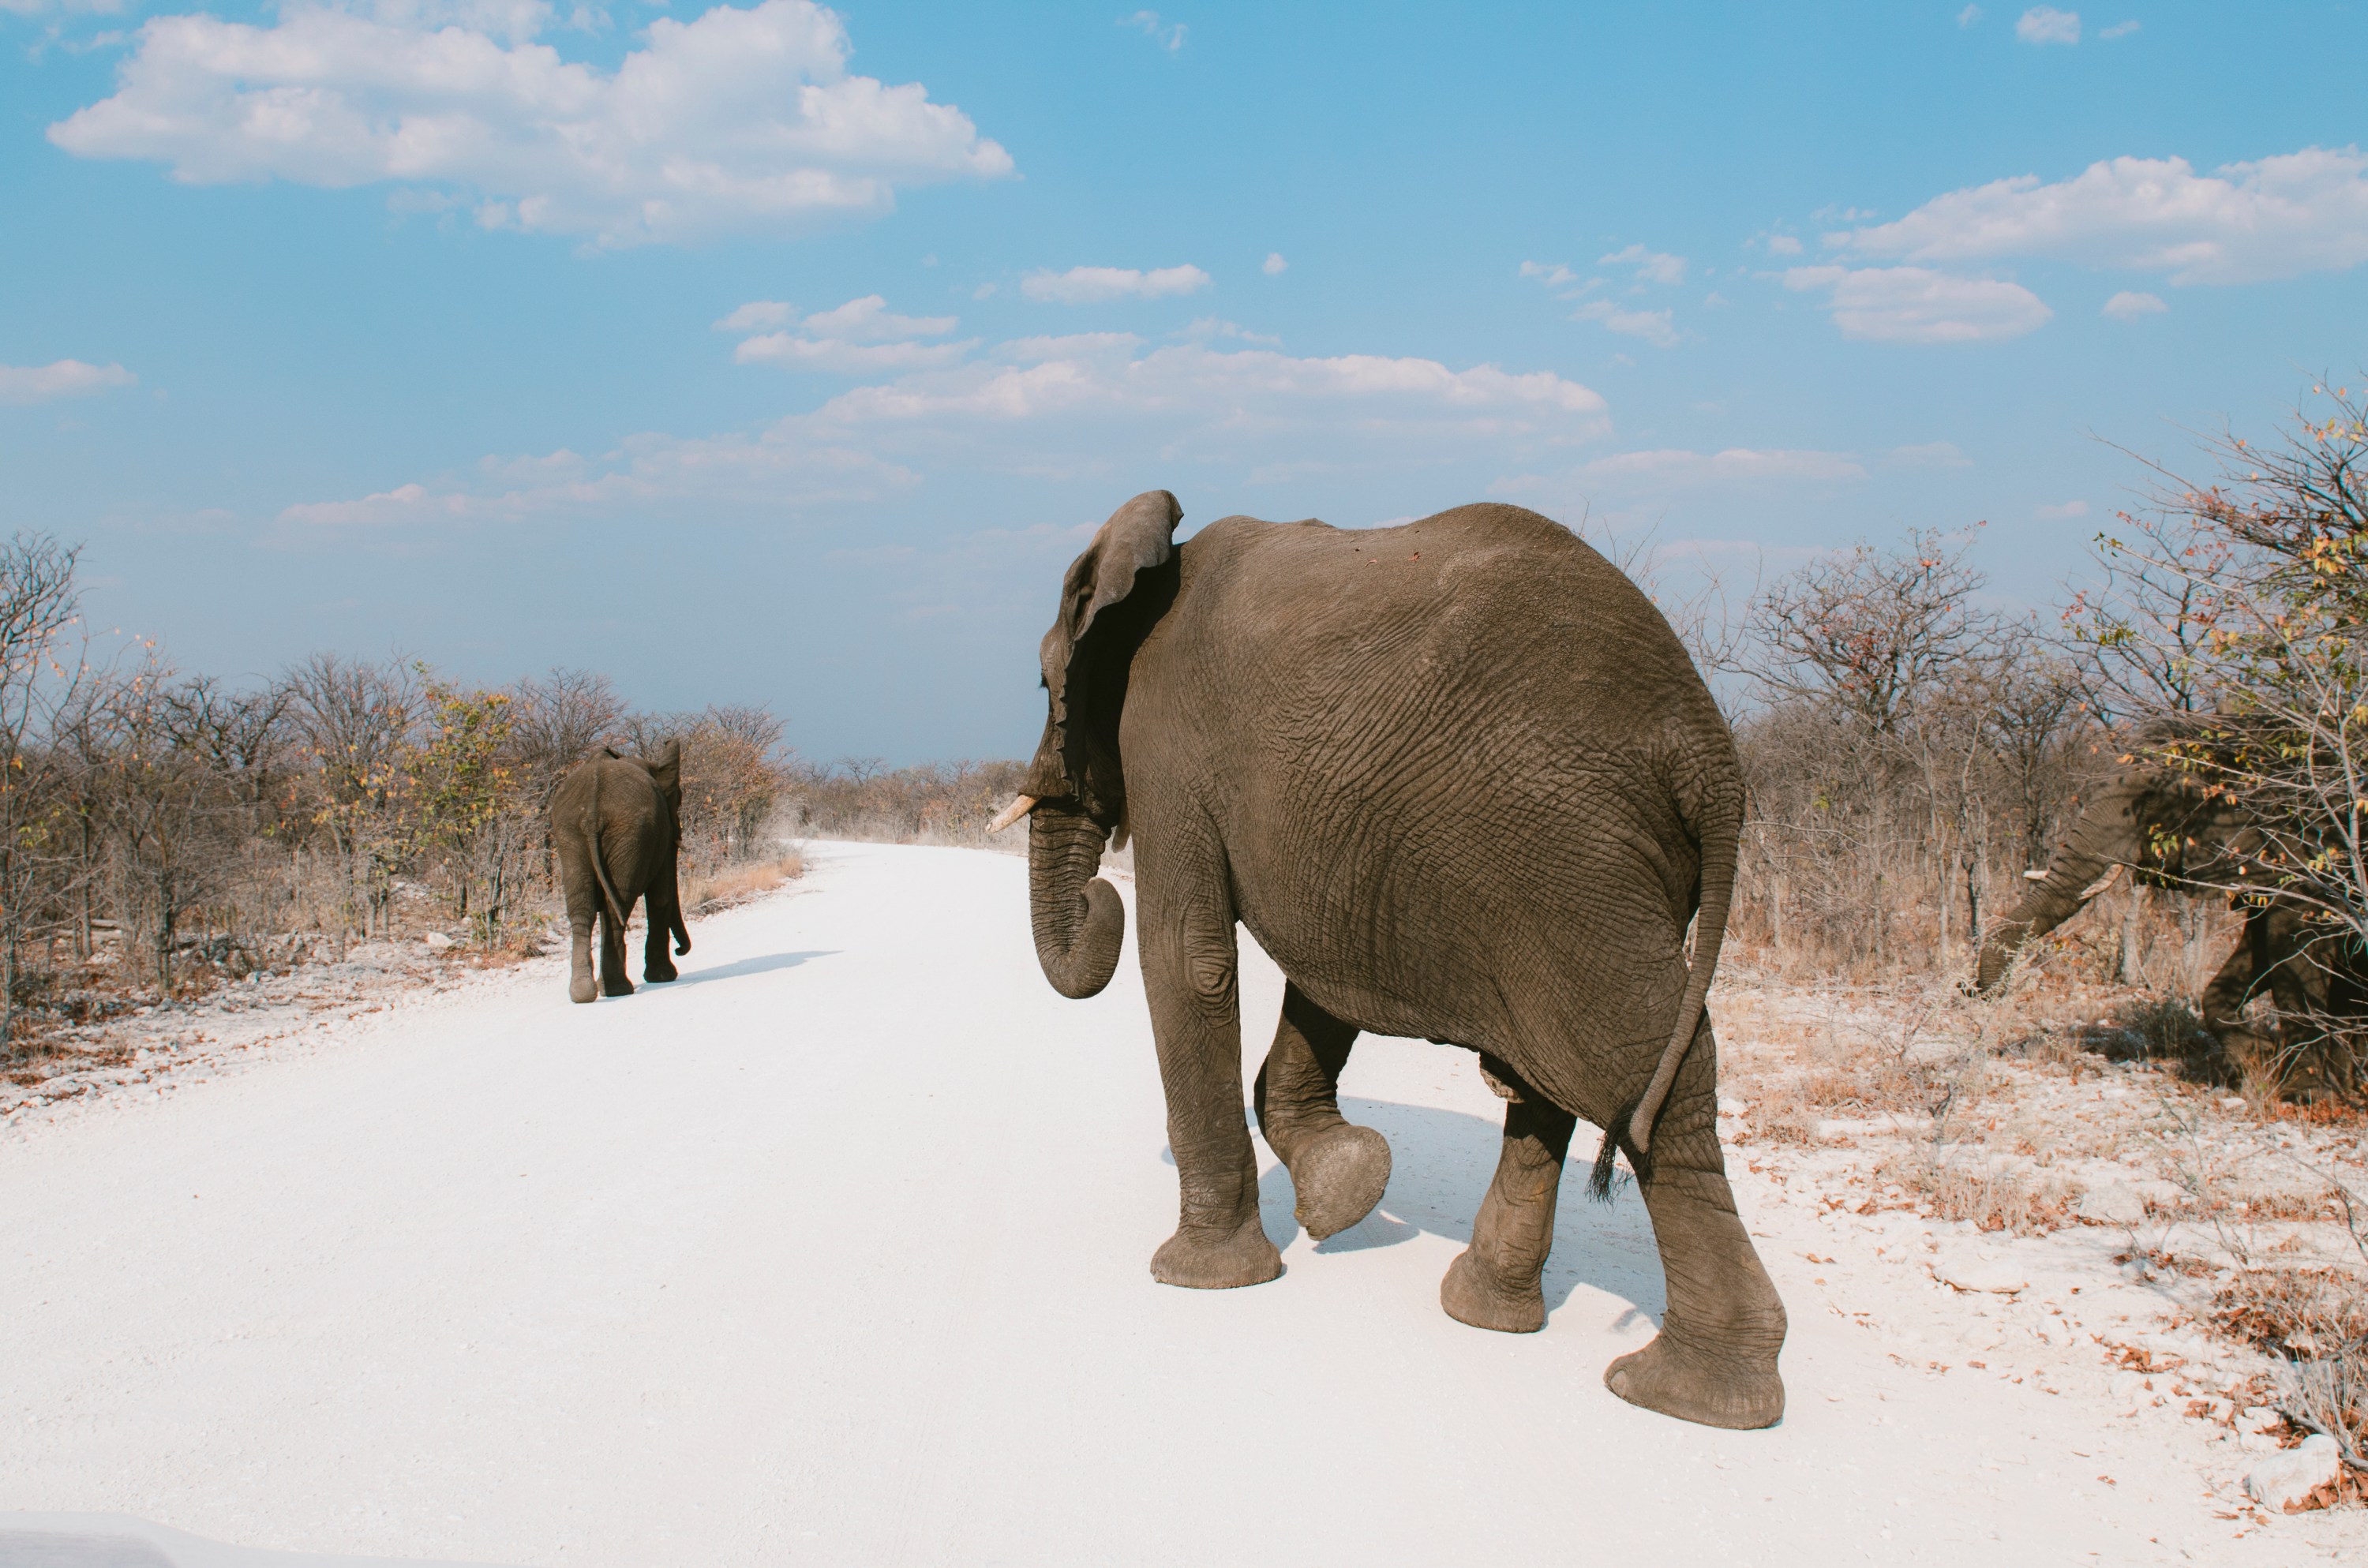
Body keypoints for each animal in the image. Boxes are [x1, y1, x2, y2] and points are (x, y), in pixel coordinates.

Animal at [550, 740, 691, 1004]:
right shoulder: (660, 833)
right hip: (626, 832)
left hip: (573, 832)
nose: (680, 950)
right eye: (678, 801)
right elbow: (661, 896)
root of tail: (592, 813)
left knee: (585, 906)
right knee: (618, 906)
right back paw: (616, 989)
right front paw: (663, 977)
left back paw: (585, 993)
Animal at [996, 490, 1785, 1430]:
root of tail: (1708, 753)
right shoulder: (1351, 839)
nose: (1094, 899)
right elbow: (1323, 974)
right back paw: (1488, 1314)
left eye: (1046, 685)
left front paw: (1202, 1278)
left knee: (1641, 1074)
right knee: (1551, 1073)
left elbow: (1186, 957)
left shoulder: (1168, 738)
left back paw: (1684, 1395)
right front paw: (1349, 1187)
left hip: (1572, 857)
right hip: (1571, 870)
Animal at [1974, 761, 2366, 1098]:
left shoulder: (2303, 880)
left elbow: (2292, 967)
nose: (1977, 992)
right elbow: (2252, 963)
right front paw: (2258, 1057)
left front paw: (2304, 1094)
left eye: (2147, 808)